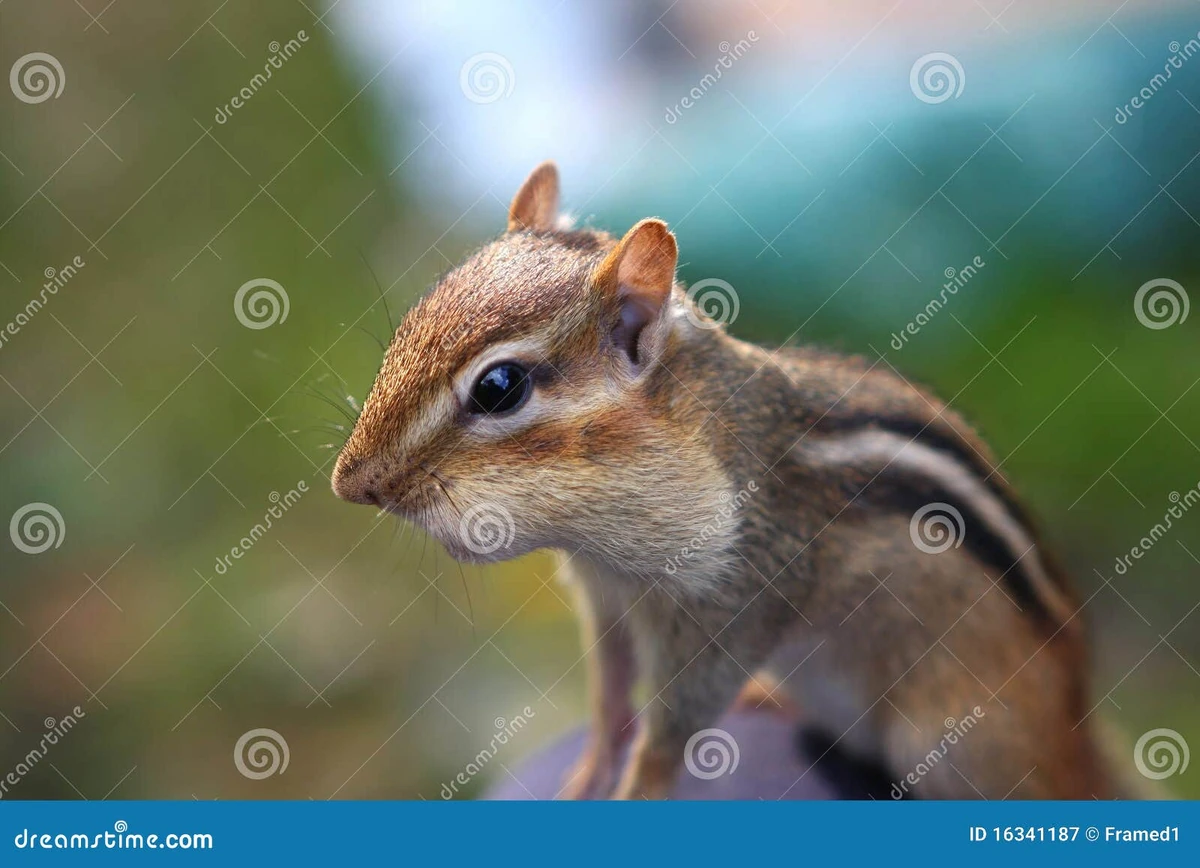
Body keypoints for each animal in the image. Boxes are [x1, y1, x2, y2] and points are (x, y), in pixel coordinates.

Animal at [332, 161, 1128, 800]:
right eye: (412, 321)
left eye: (499, 387)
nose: (350, 484)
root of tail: (1077, 722)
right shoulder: (603, 596)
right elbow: (609, 692)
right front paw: (588, 773)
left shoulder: (730, 607)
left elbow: (674, 724)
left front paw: (635, 792)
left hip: (954, 741)